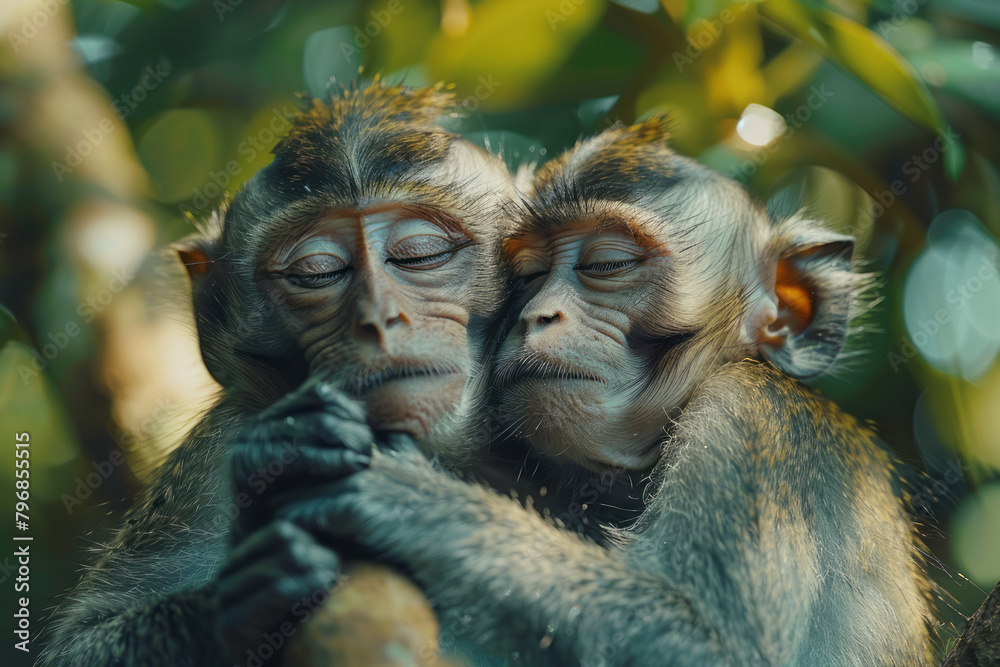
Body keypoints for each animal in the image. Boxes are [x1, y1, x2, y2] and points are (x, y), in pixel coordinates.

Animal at [38, 79, 520, 666]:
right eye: (317, 271)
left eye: (421, 254)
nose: (379, 318)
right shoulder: (219, 447)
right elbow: (81, 640)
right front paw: (244, 589)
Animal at [262, 117, 938, 666]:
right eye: (528, 274)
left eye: (607, 264)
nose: (538, 315)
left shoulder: (749, 417)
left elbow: (720, 651)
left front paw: (399, 494)